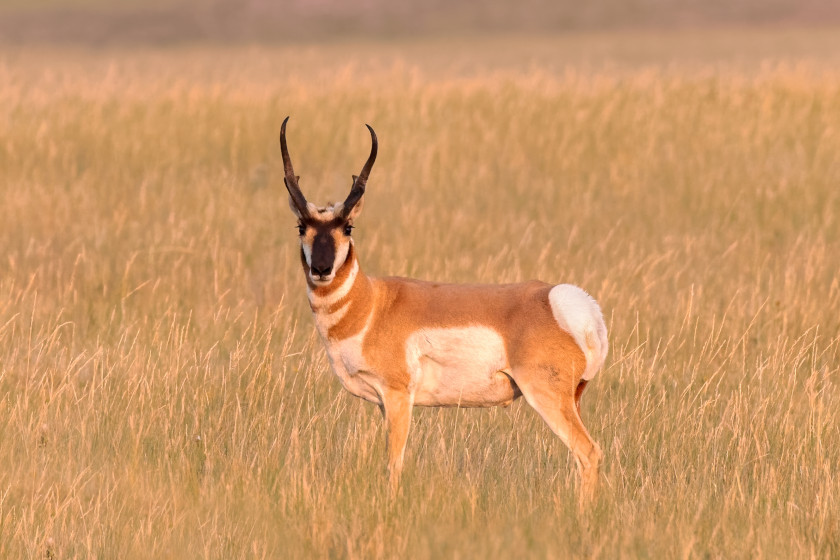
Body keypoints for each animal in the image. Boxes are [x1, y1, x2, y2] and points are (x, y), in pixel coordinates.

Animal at [280, 117, 609, 502]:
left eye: (348, 226)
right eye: (302, 226)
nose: (321, 268)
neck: (371, 305)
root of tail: (562, 301)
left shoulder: (398, 397)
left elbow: (394, 464)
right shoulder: (383, 404)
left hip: (547, 396)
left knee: (588, 452)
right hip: (574, 399)